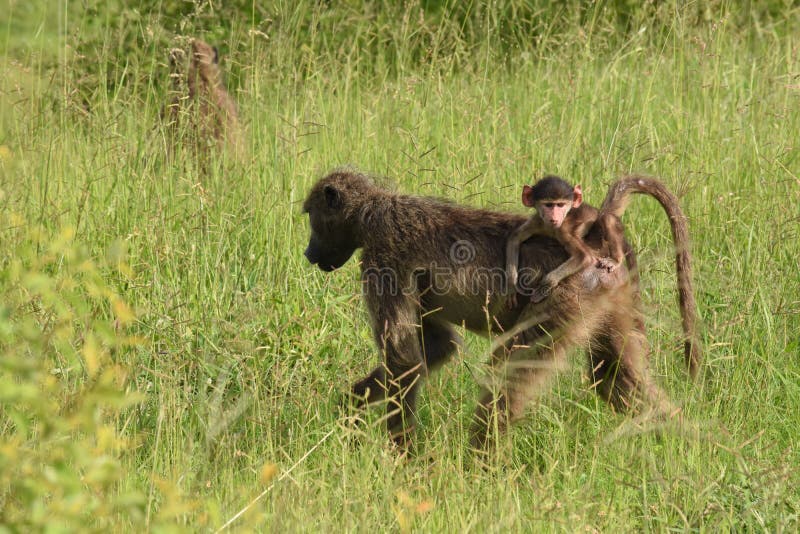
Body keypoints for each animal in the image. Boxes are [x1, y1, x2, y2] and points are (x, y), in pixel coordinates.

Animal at [506, 175, 627, 305]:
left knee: (607, 218)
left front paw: (544, 287)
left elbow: (583, 256)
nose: (554, 218)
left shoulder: (564, 231)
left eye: (560, 205)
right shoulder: (537, 221)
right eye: (548, 205)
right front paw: (511, 285)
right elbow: (515, 237)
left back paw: (615, 260)